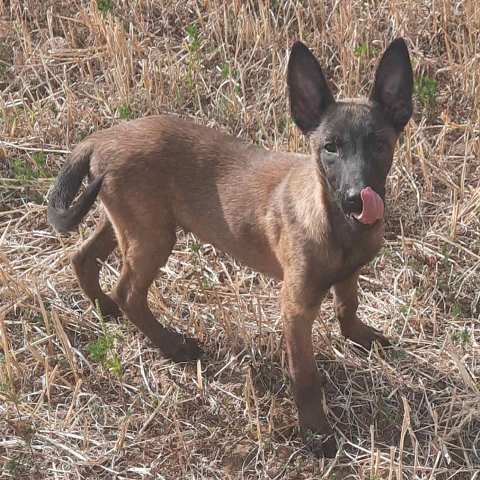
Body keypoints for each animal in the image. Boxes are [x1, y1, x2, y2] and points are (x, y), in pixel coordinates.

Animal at [49, 39, 416, 456]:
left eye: (380, 145)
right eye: (330, 148)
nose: (357, 199)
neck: (335, 222)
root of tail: (102, 138)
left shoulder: (350, 272)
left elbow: (347, 307)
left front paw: (362, 338)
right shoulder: (295, 306)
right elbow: (304, 373)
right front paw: (317, 432)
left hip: (131, 222)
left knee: (82, 257)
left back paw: (103, 308)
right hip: (152, 236)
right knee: (128, 292)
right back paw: (173, 346)